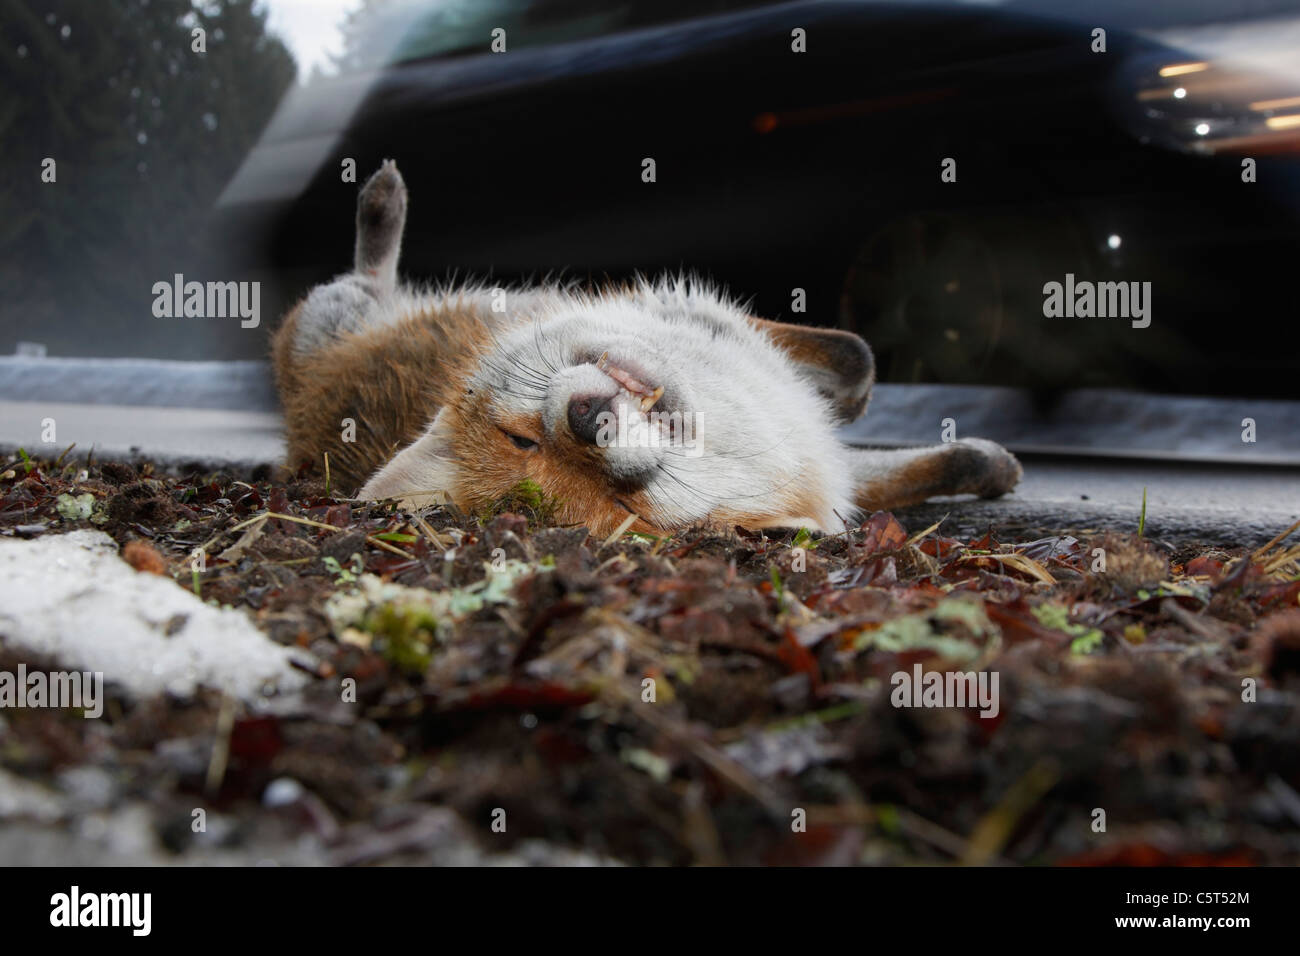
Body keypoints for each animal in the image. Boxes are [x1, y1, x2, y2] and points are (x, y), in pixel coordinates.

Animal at [271, 161, 1021, 537]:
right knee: (366, 271)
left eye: (518, 439)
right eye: (623, 503)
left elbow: (858, 363)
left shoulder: (718, 325)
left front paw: (979, 461)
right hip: (335, 311)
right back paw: (380, 203)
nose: (587, 421)